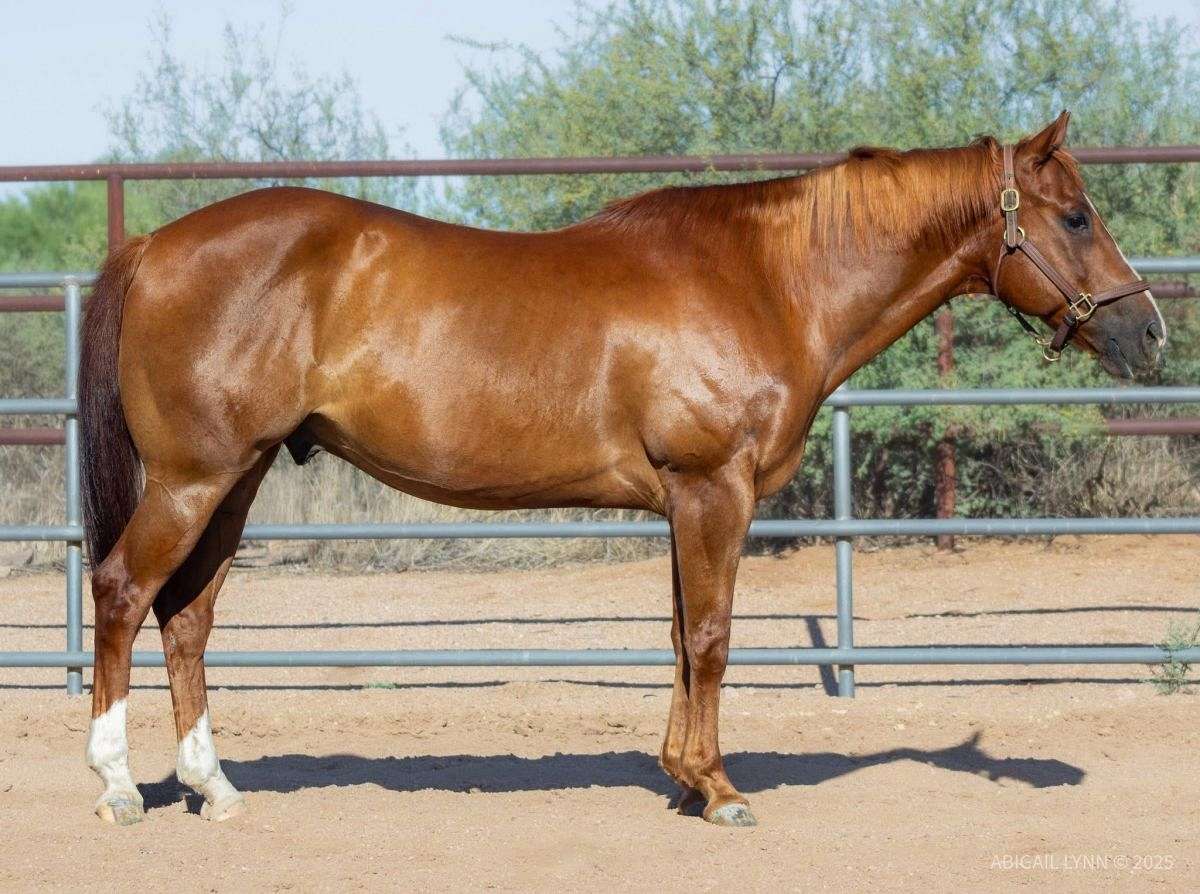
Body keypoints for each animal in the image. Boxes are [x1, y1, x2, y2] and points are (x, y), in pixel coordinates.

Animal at [77, 111, 1164, 828]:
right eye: (1075, 216)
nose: (1148, 332)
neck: (769, 279)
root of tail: (154, 244)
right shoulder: (714, 489)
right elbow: (714, 639)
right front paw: (720, 791)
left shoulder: (688, 501)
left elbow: (681, 636)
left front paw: (683, 775)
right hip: (193, 477)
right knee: (125, 593)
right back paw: (120, 786)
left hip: (239, 477)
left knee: (188, 618)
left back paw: (215, 789)